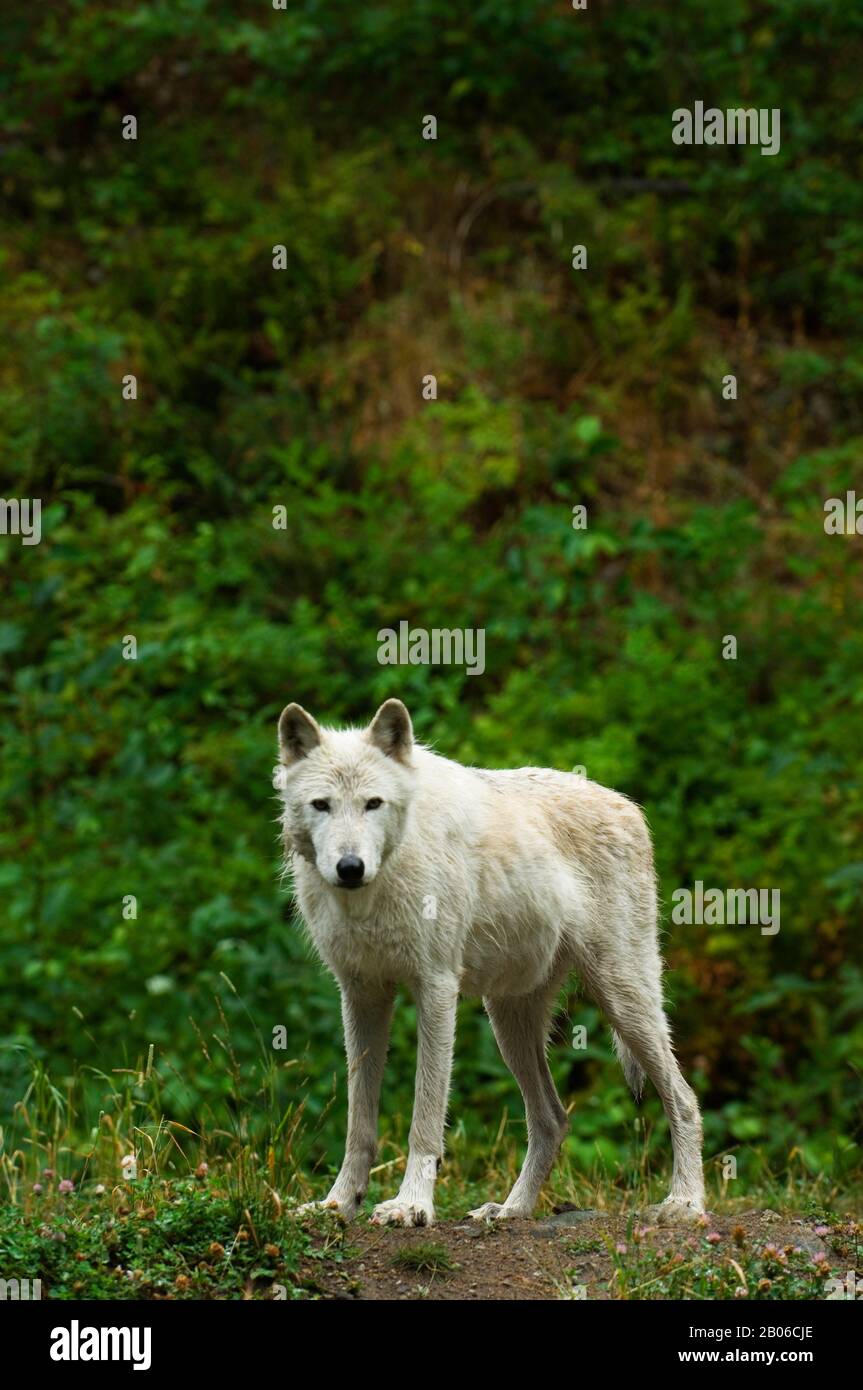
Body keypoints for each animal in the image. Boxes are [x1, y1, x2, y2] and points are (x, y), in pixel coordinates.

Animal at [275, 698, 705, 1228]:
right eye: (322, 805)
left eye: (373, 803)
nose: (350, 867)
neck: (375, 892)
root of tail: (630, 807)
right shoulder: (360, 994)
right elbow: (359, 1122)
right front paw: (338, 1202)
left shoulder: (437, 988)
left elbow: (425, 1117)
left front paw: (411, 1205)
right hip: (508, 1020)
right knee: (552, 1120)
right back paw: (511, 1210)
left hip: (622, 998)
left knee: (684, 1100)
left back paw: (685, 1202)